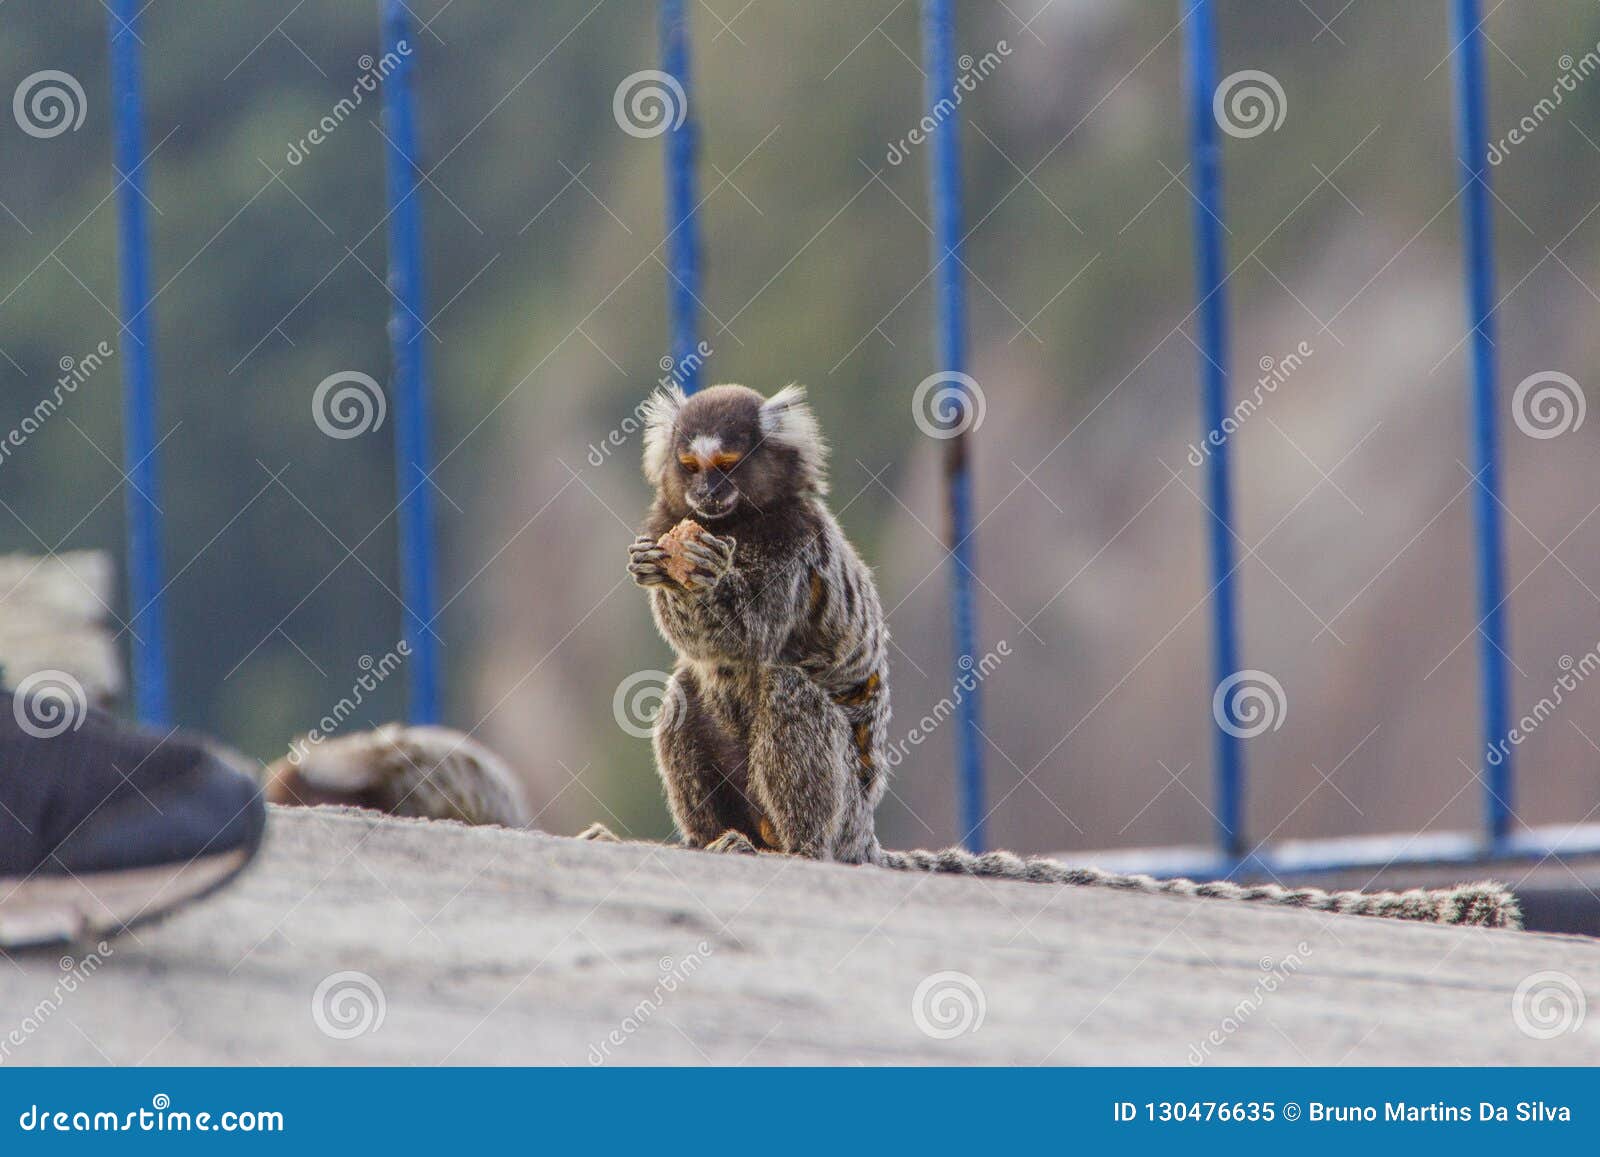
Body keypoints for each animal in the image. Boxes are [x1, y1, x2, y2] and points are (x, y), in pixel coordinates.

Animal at [596, 382, 1518, 930]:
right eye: (691, 466)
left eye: (729, 463)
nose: (708, 494)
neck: (735, 525)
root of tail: (861, 832)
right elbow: (693, 645)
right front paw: (659, 565)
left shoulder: (791, 541)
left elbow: (752, 633)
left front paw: (699, 572)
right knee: (682, 695)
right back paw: (713, 838)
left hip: (839, 808)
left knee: (787, 690)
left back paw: (788, 847)